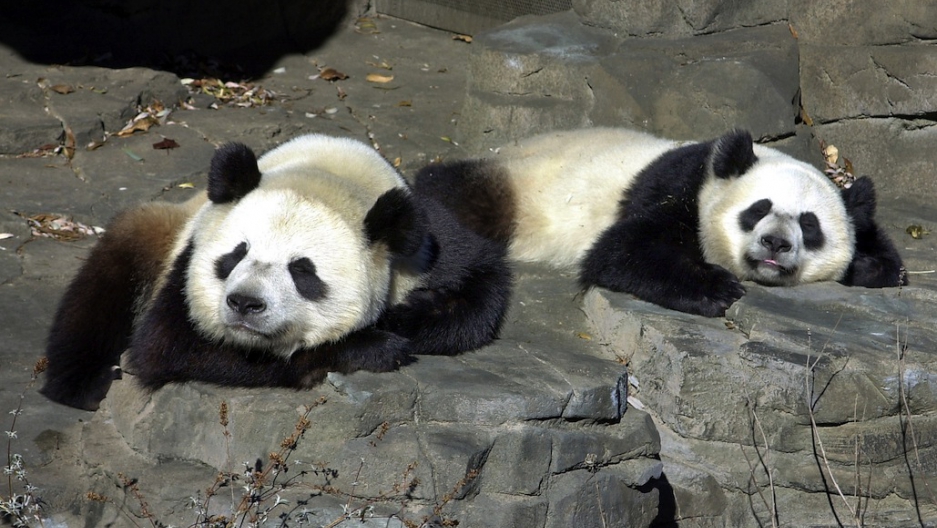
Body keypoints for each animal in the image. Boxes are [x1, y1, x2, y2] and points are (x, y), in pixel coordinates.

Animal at [41, 134, 511, 411]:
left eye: (303, 272)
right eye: (235, 255)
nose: (244, 303)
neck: (326, 173)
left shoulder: (423, 237)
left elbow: (482, 282)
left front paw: (407, 314)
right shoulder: (188, 258)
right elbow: (167, 345)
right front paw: (369, 346)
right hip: (158, 233)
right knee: (99, 295)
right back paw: (82, 385)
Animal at [414, 127, 906, 318]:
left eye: (809, 226)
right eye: (758, 209)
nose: (775, 244)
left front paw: (867, 266)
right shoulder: (679, 185)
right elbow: (620, 252)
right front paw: (715, 288)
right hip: (516, 184)